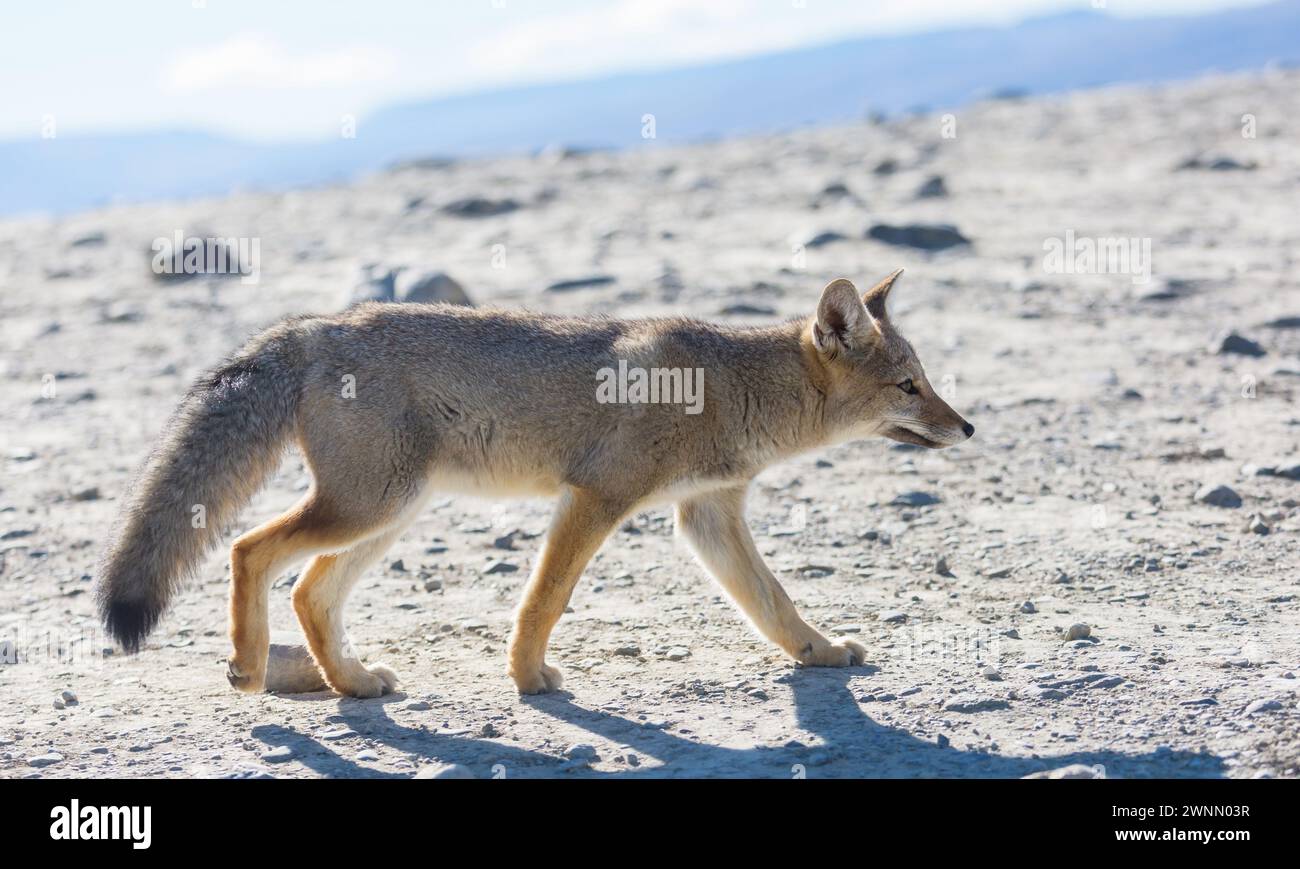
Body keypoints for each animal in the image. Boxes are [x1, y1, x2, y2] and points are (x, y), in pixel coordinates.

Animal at [95, 269, 972, 697]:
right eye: (909, 387)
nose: (966, 428)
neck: (728, 385)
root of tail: (311, 327)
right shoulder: (597, 495)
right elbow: (546, 597)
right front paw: (527, 678)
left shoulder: (706, 513)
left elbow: (774, 602)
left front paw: (820, 652)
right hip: (370, 507)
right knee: (249, 548)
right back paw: (249, 668)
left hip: (389, 513)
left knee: (310, 591)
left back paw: (353, 682)